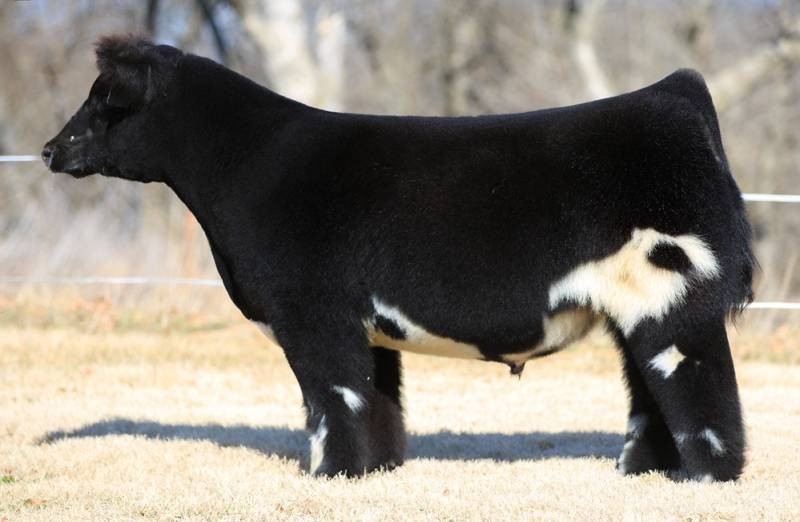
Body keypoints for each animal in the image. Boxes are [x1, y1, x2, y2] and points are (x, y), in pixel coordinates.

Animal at [43, 35, 755, 481]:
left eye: (105, 101)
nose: (50, 149)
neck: (247, 165)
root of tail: (674, 91)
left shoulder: (312, 311)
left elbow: (332, 398)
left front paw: (330, 474)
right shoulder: (362, 323)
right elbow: (374, 397)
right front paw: (374, 470)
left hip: (671, 294)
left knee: (700, 384)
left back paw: (706, 478)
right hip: (636, 309)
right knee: (649, 391)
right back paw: (640, 472)